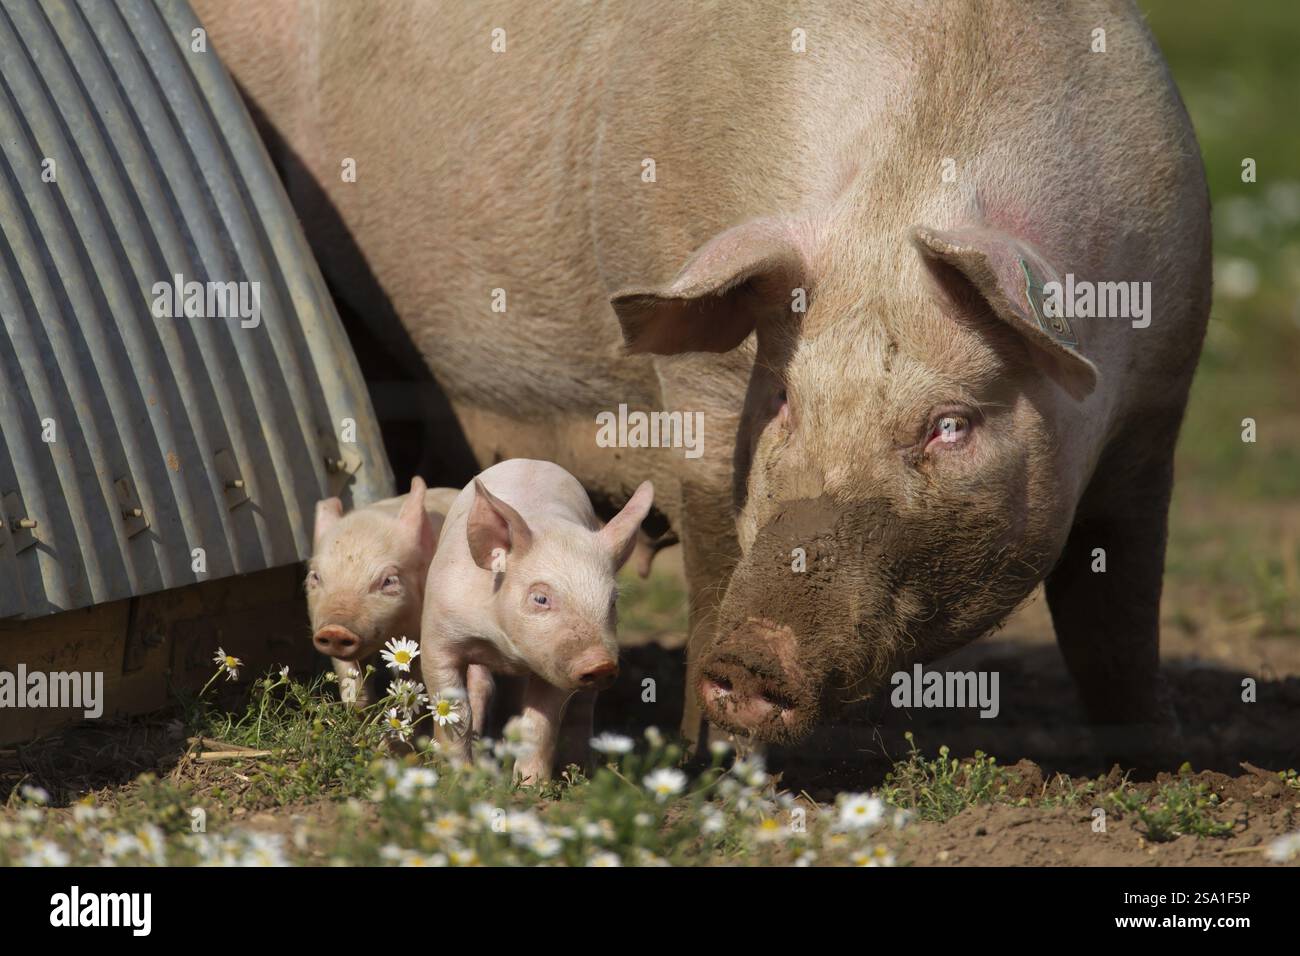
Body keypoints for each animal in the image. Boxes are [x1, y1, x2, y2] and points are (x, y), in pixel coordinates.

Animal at [419, 459, 653, 782]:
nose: (601, 663)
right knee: (482, 688)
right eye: (540, 598)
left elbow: (540, 722)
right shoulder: (437, 635)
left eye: (613, 601)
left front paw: (531, 786)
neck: (506, 647)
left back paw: (581, 773)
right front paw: (456, 778)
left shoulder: (555, 665)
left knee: (581, 709)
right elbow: (455, 710)